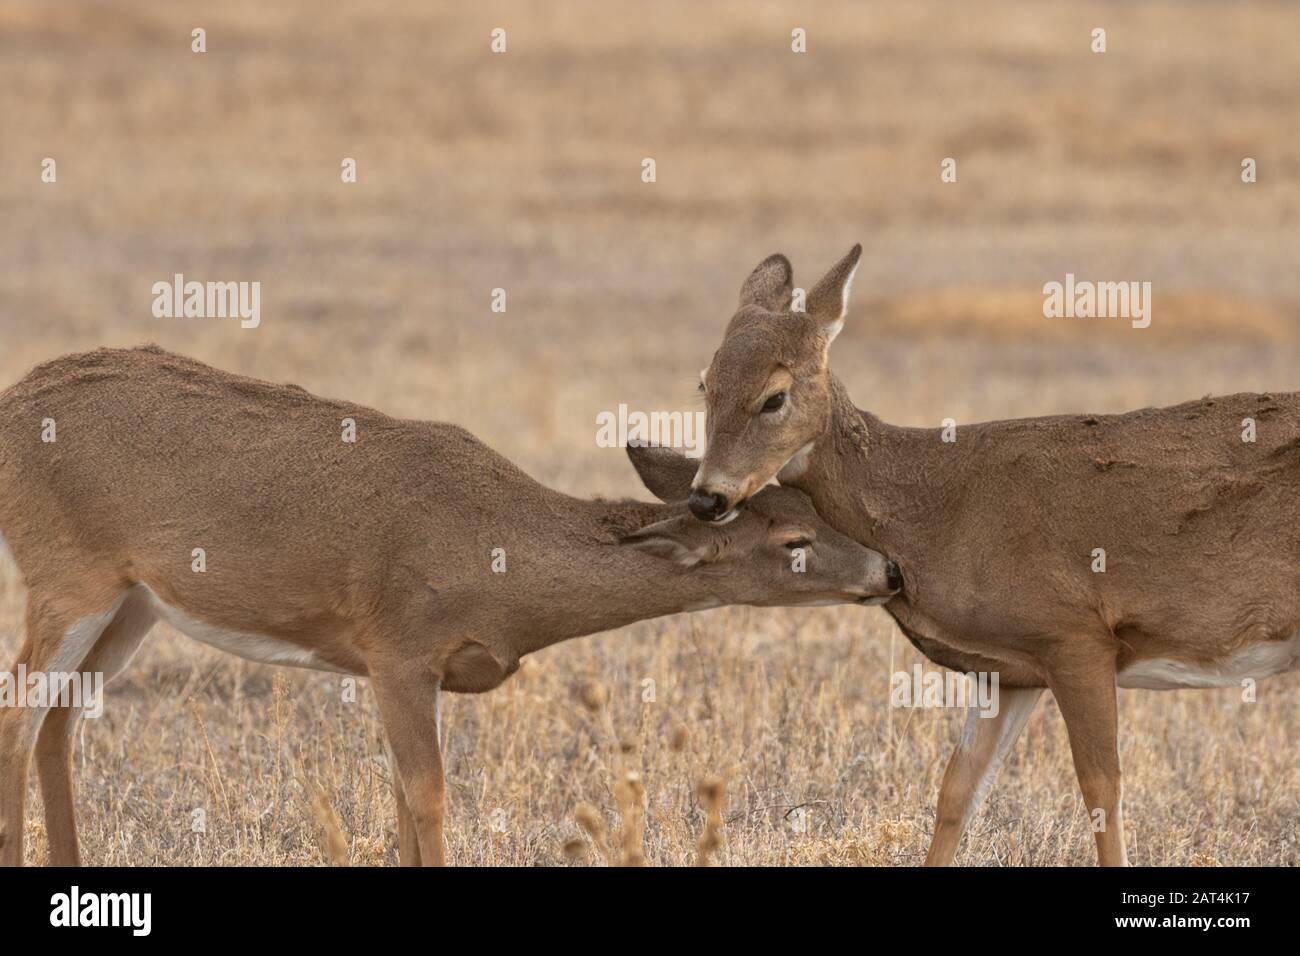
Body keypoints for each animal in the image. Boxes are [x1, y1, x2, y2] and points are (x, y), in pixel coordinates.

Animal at [0, 345, 902, 867]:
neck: (497, 560)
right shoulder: (396, 648)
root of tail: (12, 407)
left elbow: (405, 800)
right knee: (18, 712)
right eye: (794, 540)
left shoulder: (418, 671)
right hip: (67, 576)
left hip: (132, 602)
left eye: (811, 506)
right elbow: (428, 796)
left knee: (58, 722)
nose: (890, 570)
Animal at [688, 245, 1300, 866]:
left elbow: (1102, 790)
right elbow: (957, 792)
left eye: (774, 397)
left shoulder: (1075, 635)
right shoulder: (1009, 668)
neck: (938, 508)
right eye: (705, 386)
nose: (706, 497)